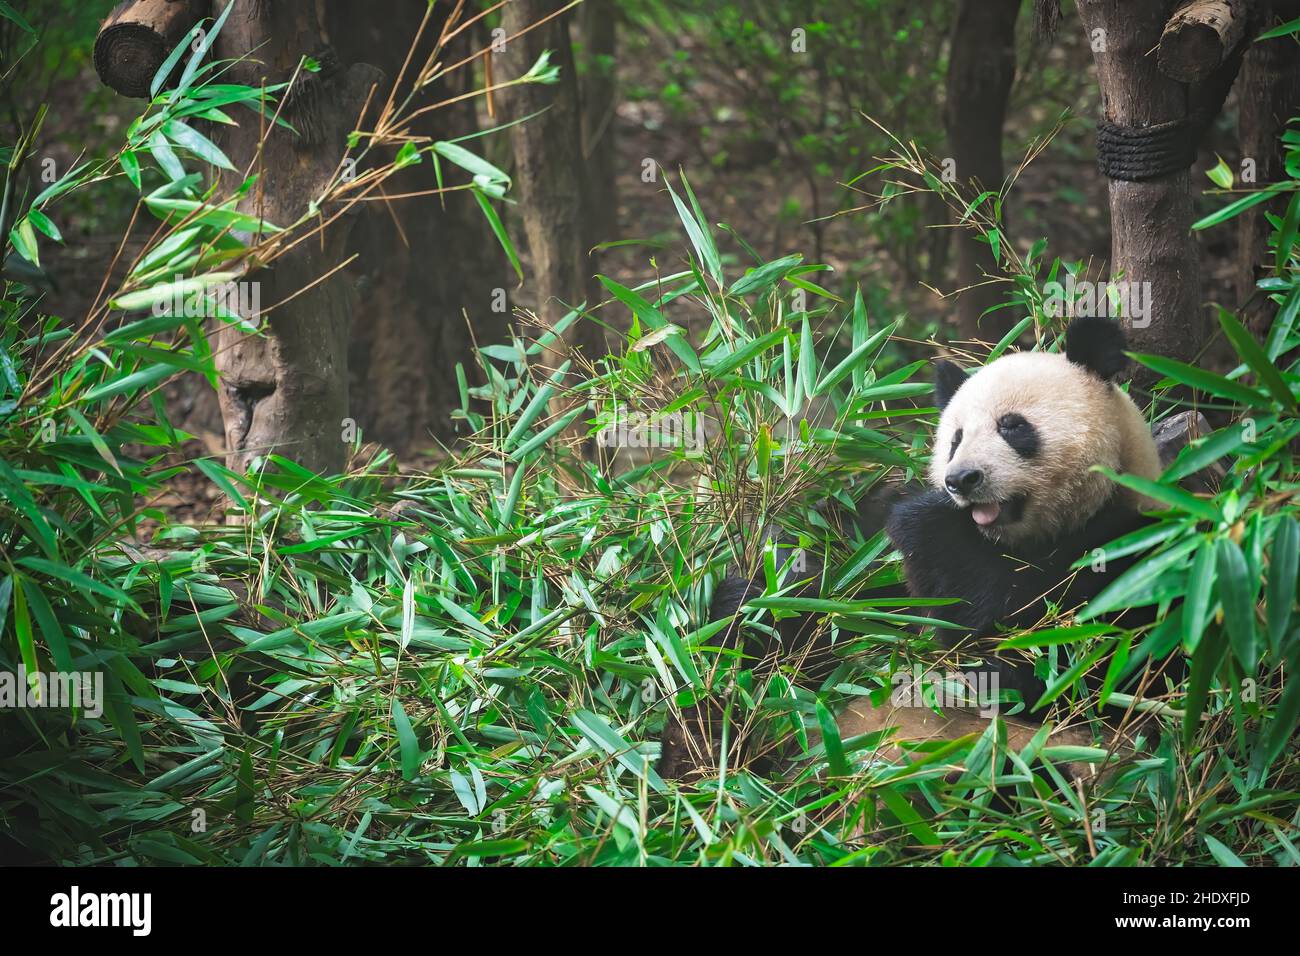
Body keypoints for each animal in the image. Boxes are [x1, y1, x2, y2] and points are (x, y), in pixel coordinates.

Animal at [884, 314, 1163, 706]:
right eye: (955, 440)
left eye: (1012, 426)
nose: (961, 479)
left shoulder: (1129, 557)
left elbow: (1044, 650)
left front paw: (926, 520)